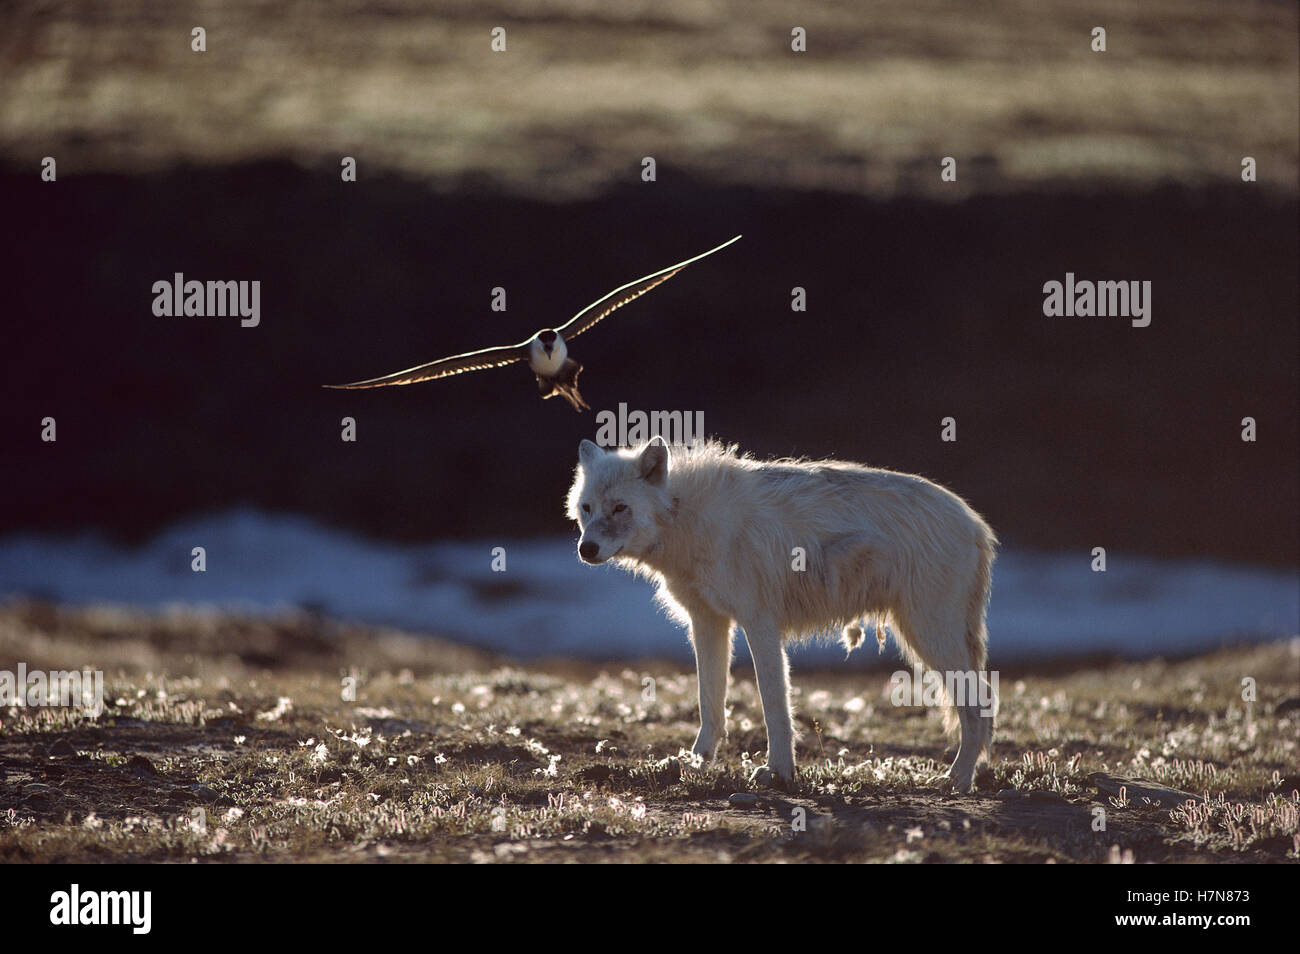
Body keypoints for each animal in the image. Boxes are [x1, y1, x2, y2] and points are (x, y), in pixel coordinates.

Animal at [567, 438, 998, 793]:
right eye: (587, 508)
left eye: (620, 508)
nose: (586, 549)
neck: (686, 516)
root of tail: (975, 522)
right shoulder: (707, 623)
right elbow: (710, 704)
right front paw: (694, 764)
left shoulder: (760, 624)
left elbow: (775, 707)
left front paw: (779, 774)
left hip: (927, 637)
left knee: (978, 706)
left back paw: (958, 780)